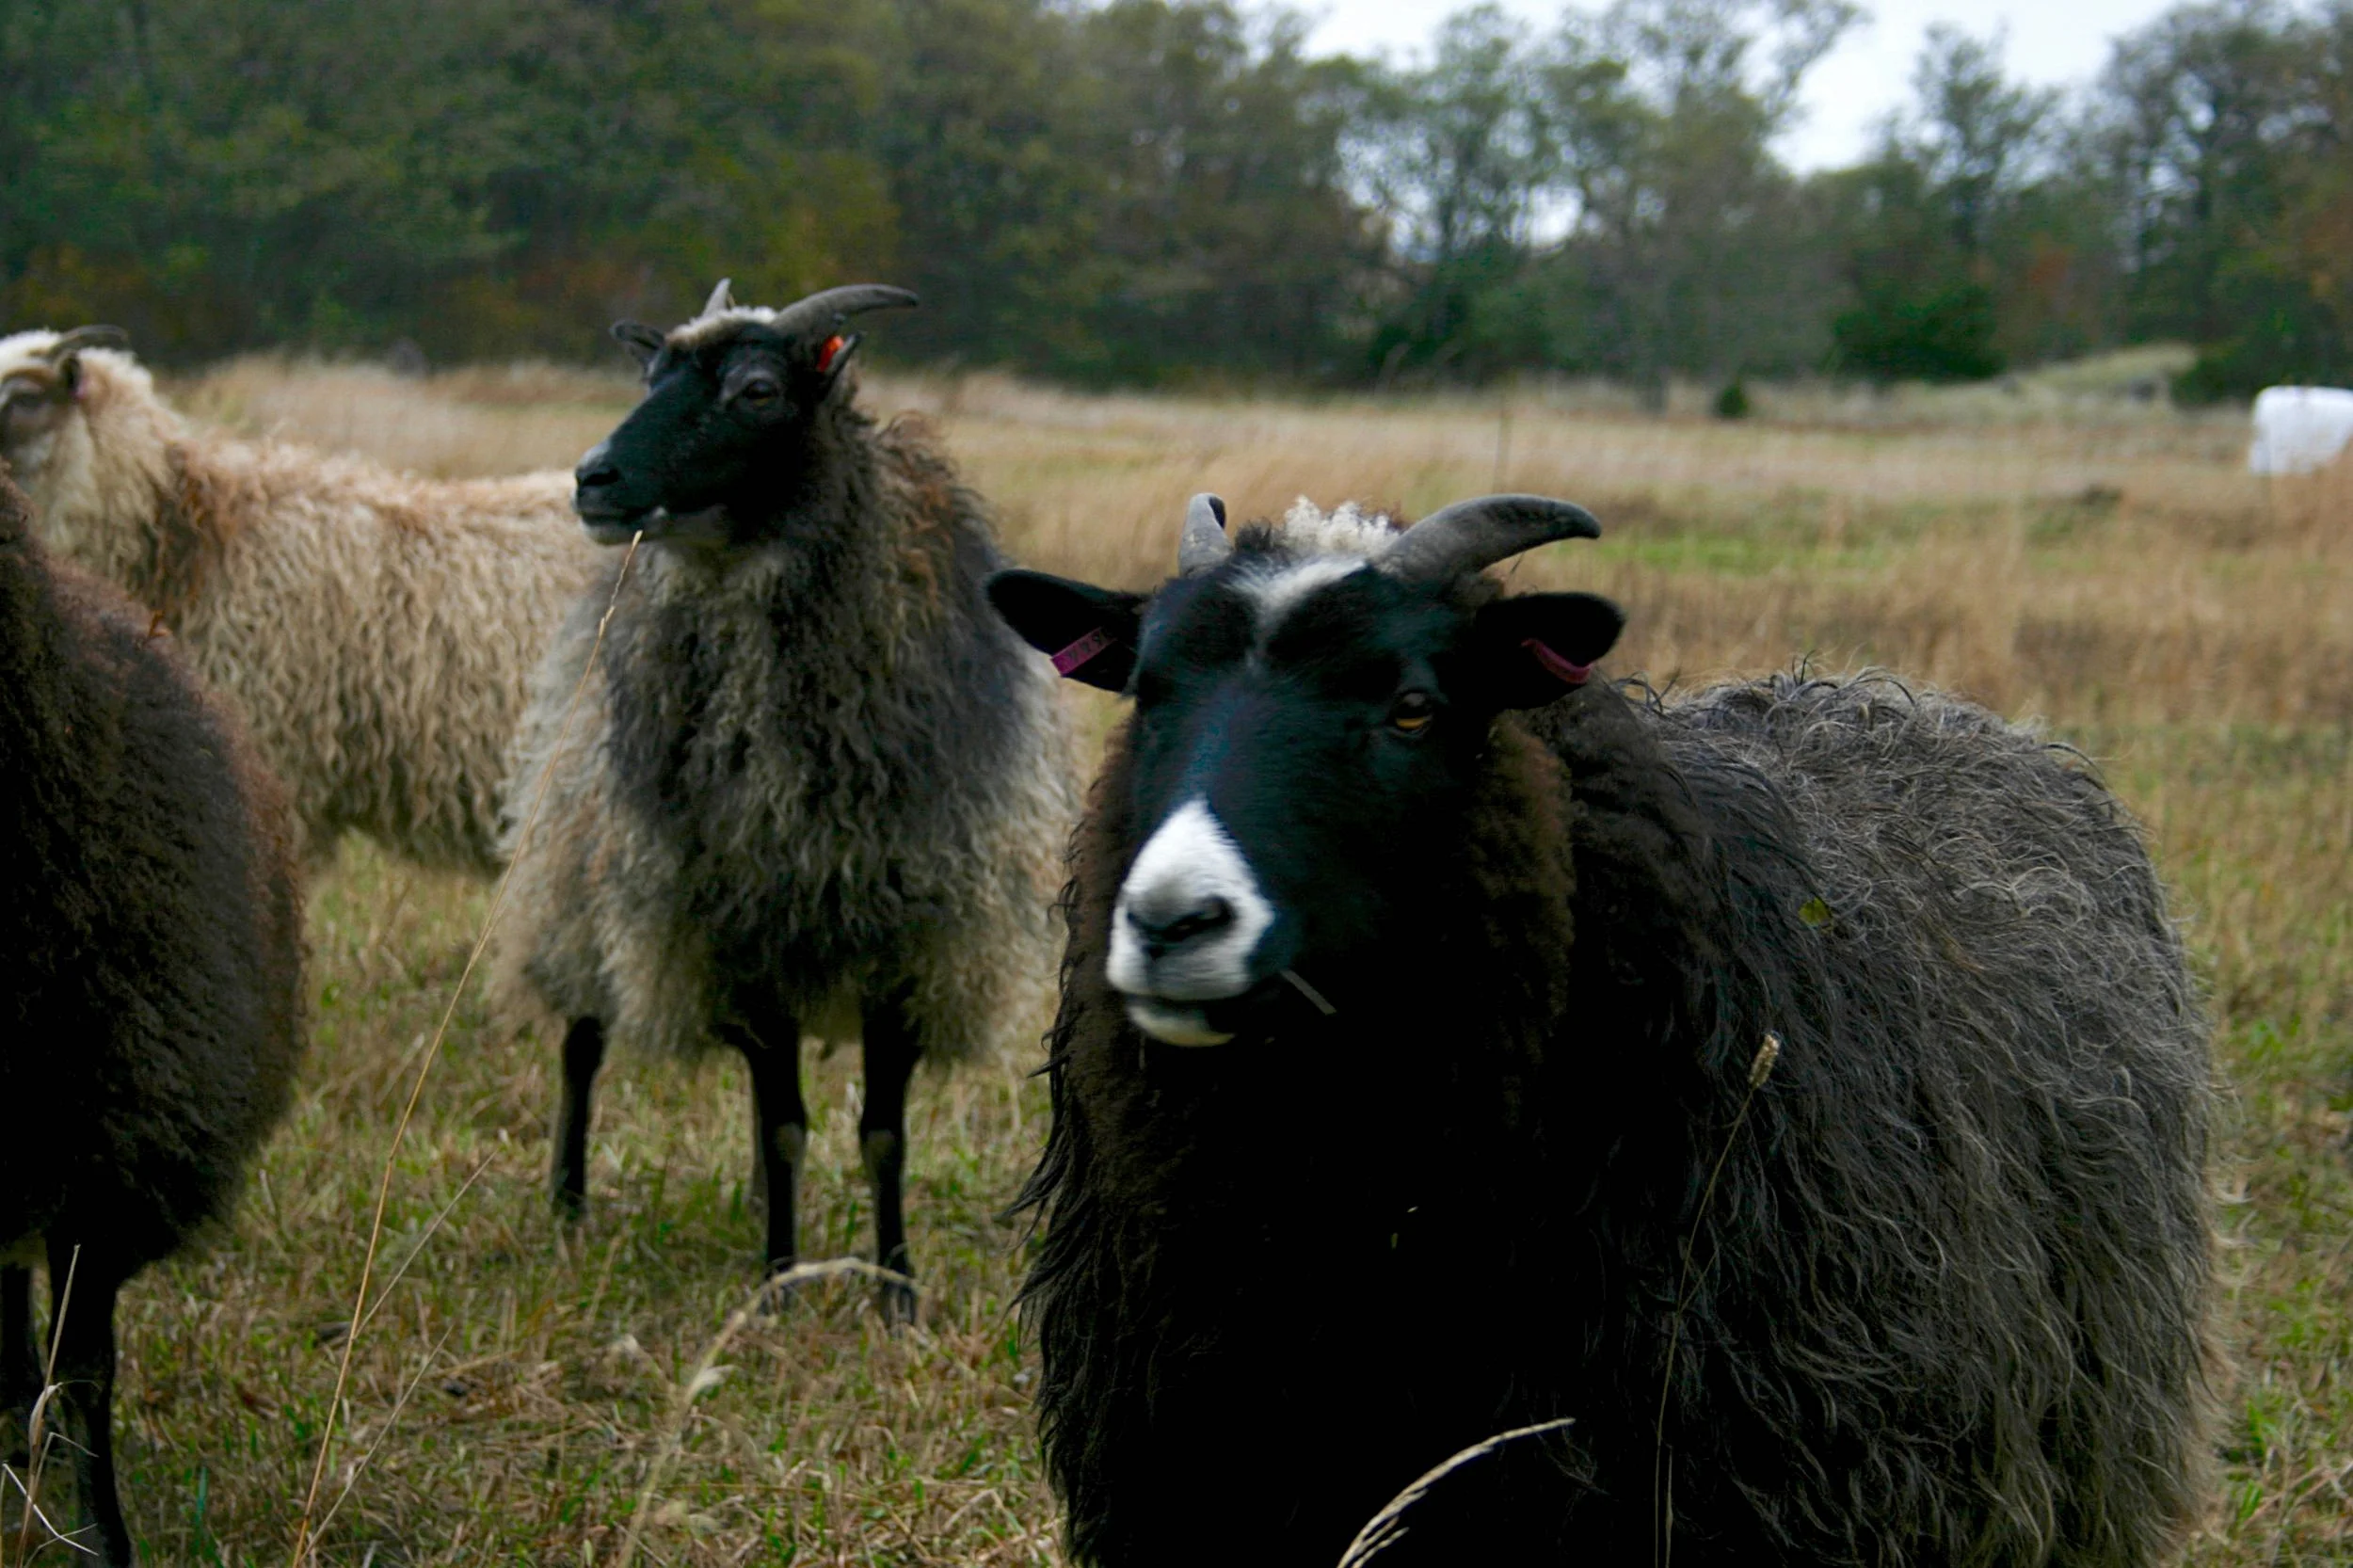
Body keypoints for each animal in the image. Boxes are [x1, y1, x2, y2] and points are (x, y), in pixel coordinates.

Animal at [491, 281, 1074, 1317]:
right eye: (650, 375)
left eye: (758, 391)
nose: (593, 479)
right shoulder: (744, 932)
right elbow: (786, 1126)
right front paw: (775, 1287)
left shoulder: (907, 942)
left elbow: (879, 1134)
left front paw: (896, 1288)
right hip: (580, 876)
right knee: (582, 1046)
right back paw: (567, 1204)